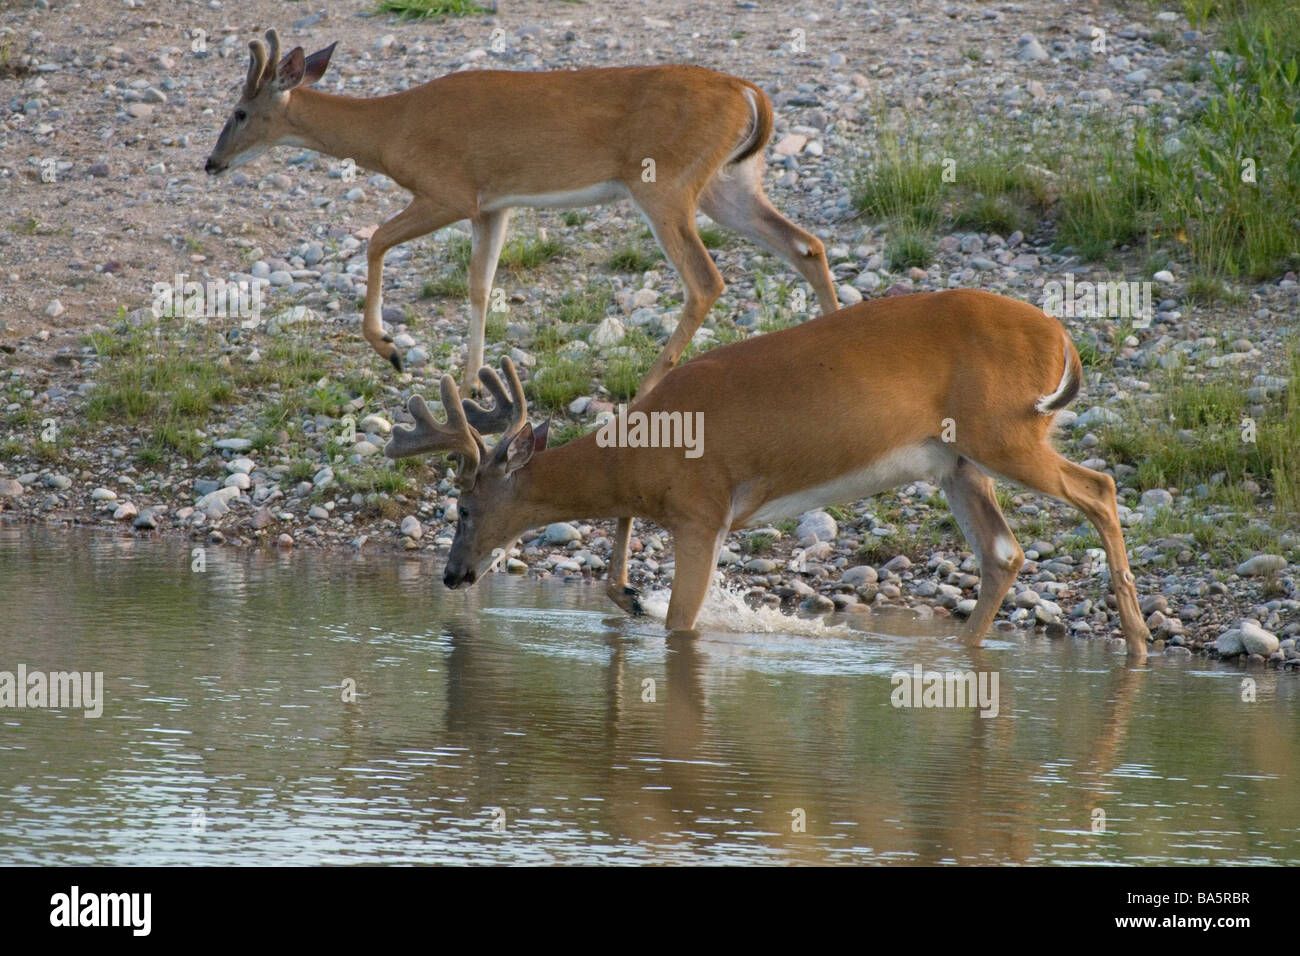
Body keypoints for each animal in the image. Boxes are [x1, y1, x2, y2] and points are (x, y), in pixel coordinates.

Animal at [204, 29, 840, 393]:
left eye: (239, 111)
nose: (211, 162)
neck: (391, 129)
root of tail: (749, 93)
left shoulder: (449, 191)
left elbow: (377, 239)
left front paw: (392, 352)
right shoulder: (494, 206)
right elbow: (480, 285)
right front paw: (469, 384)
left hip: (665, 183)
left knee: (707, 280)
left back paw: (644, 390)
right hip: (727, 182)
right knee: (806, 244)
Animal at [383, 288, 1153, 663]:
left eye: (462, 507)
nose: (452, 575)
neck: (637, 451)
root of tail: (1061, 336)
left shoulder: (701, 509)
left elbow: (683, 622)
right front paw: (629, 594)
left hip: (1004, 430)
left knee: (1099, 489)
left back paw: (1141, 638)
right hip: (959, 463)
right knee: (1004, 551)